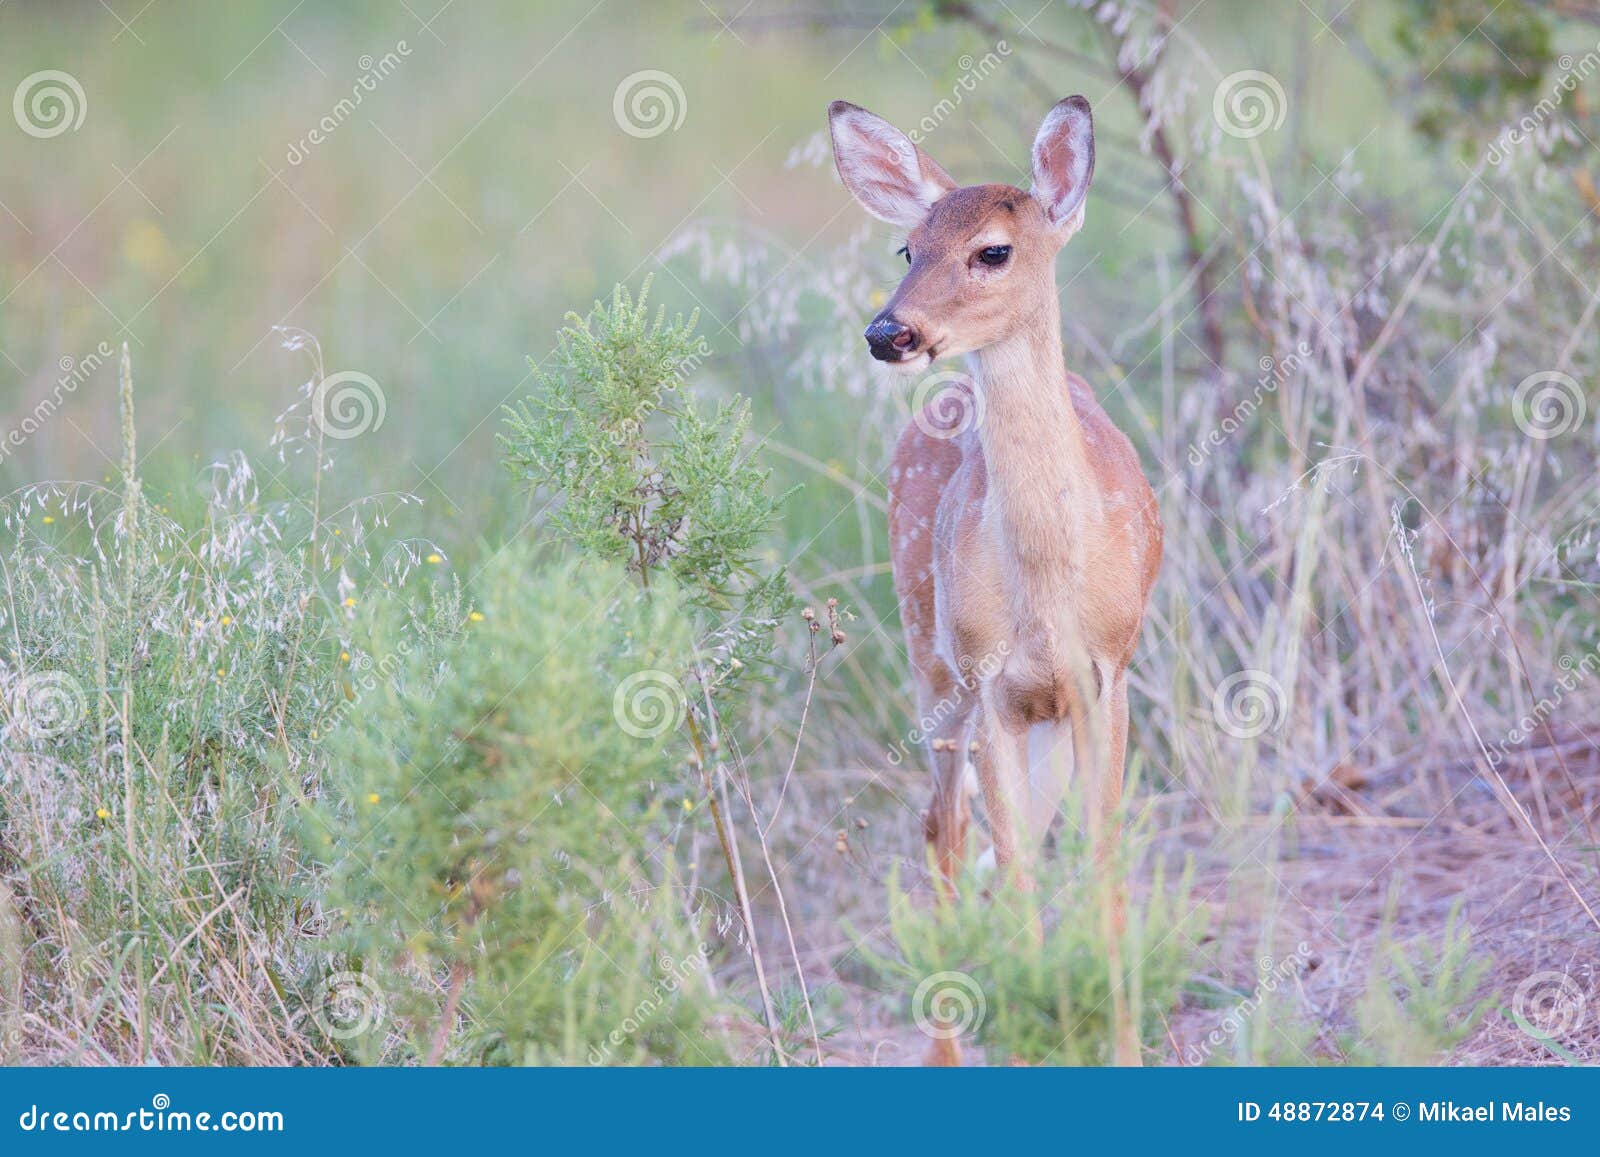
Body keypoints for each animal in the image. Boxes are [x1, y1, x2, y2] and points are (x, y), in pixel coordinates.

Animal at [829, 95, 1162, 1066]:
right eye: (908, 249)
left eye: (993, 250)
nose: (888, 331)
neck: (1050, 585)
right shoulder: (990, 678)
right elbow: (1013, 876)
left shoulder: (1107, 671)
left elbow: (1099, 856)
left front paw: (1118, 1043)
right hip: (930, 658)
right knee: (945, 828)